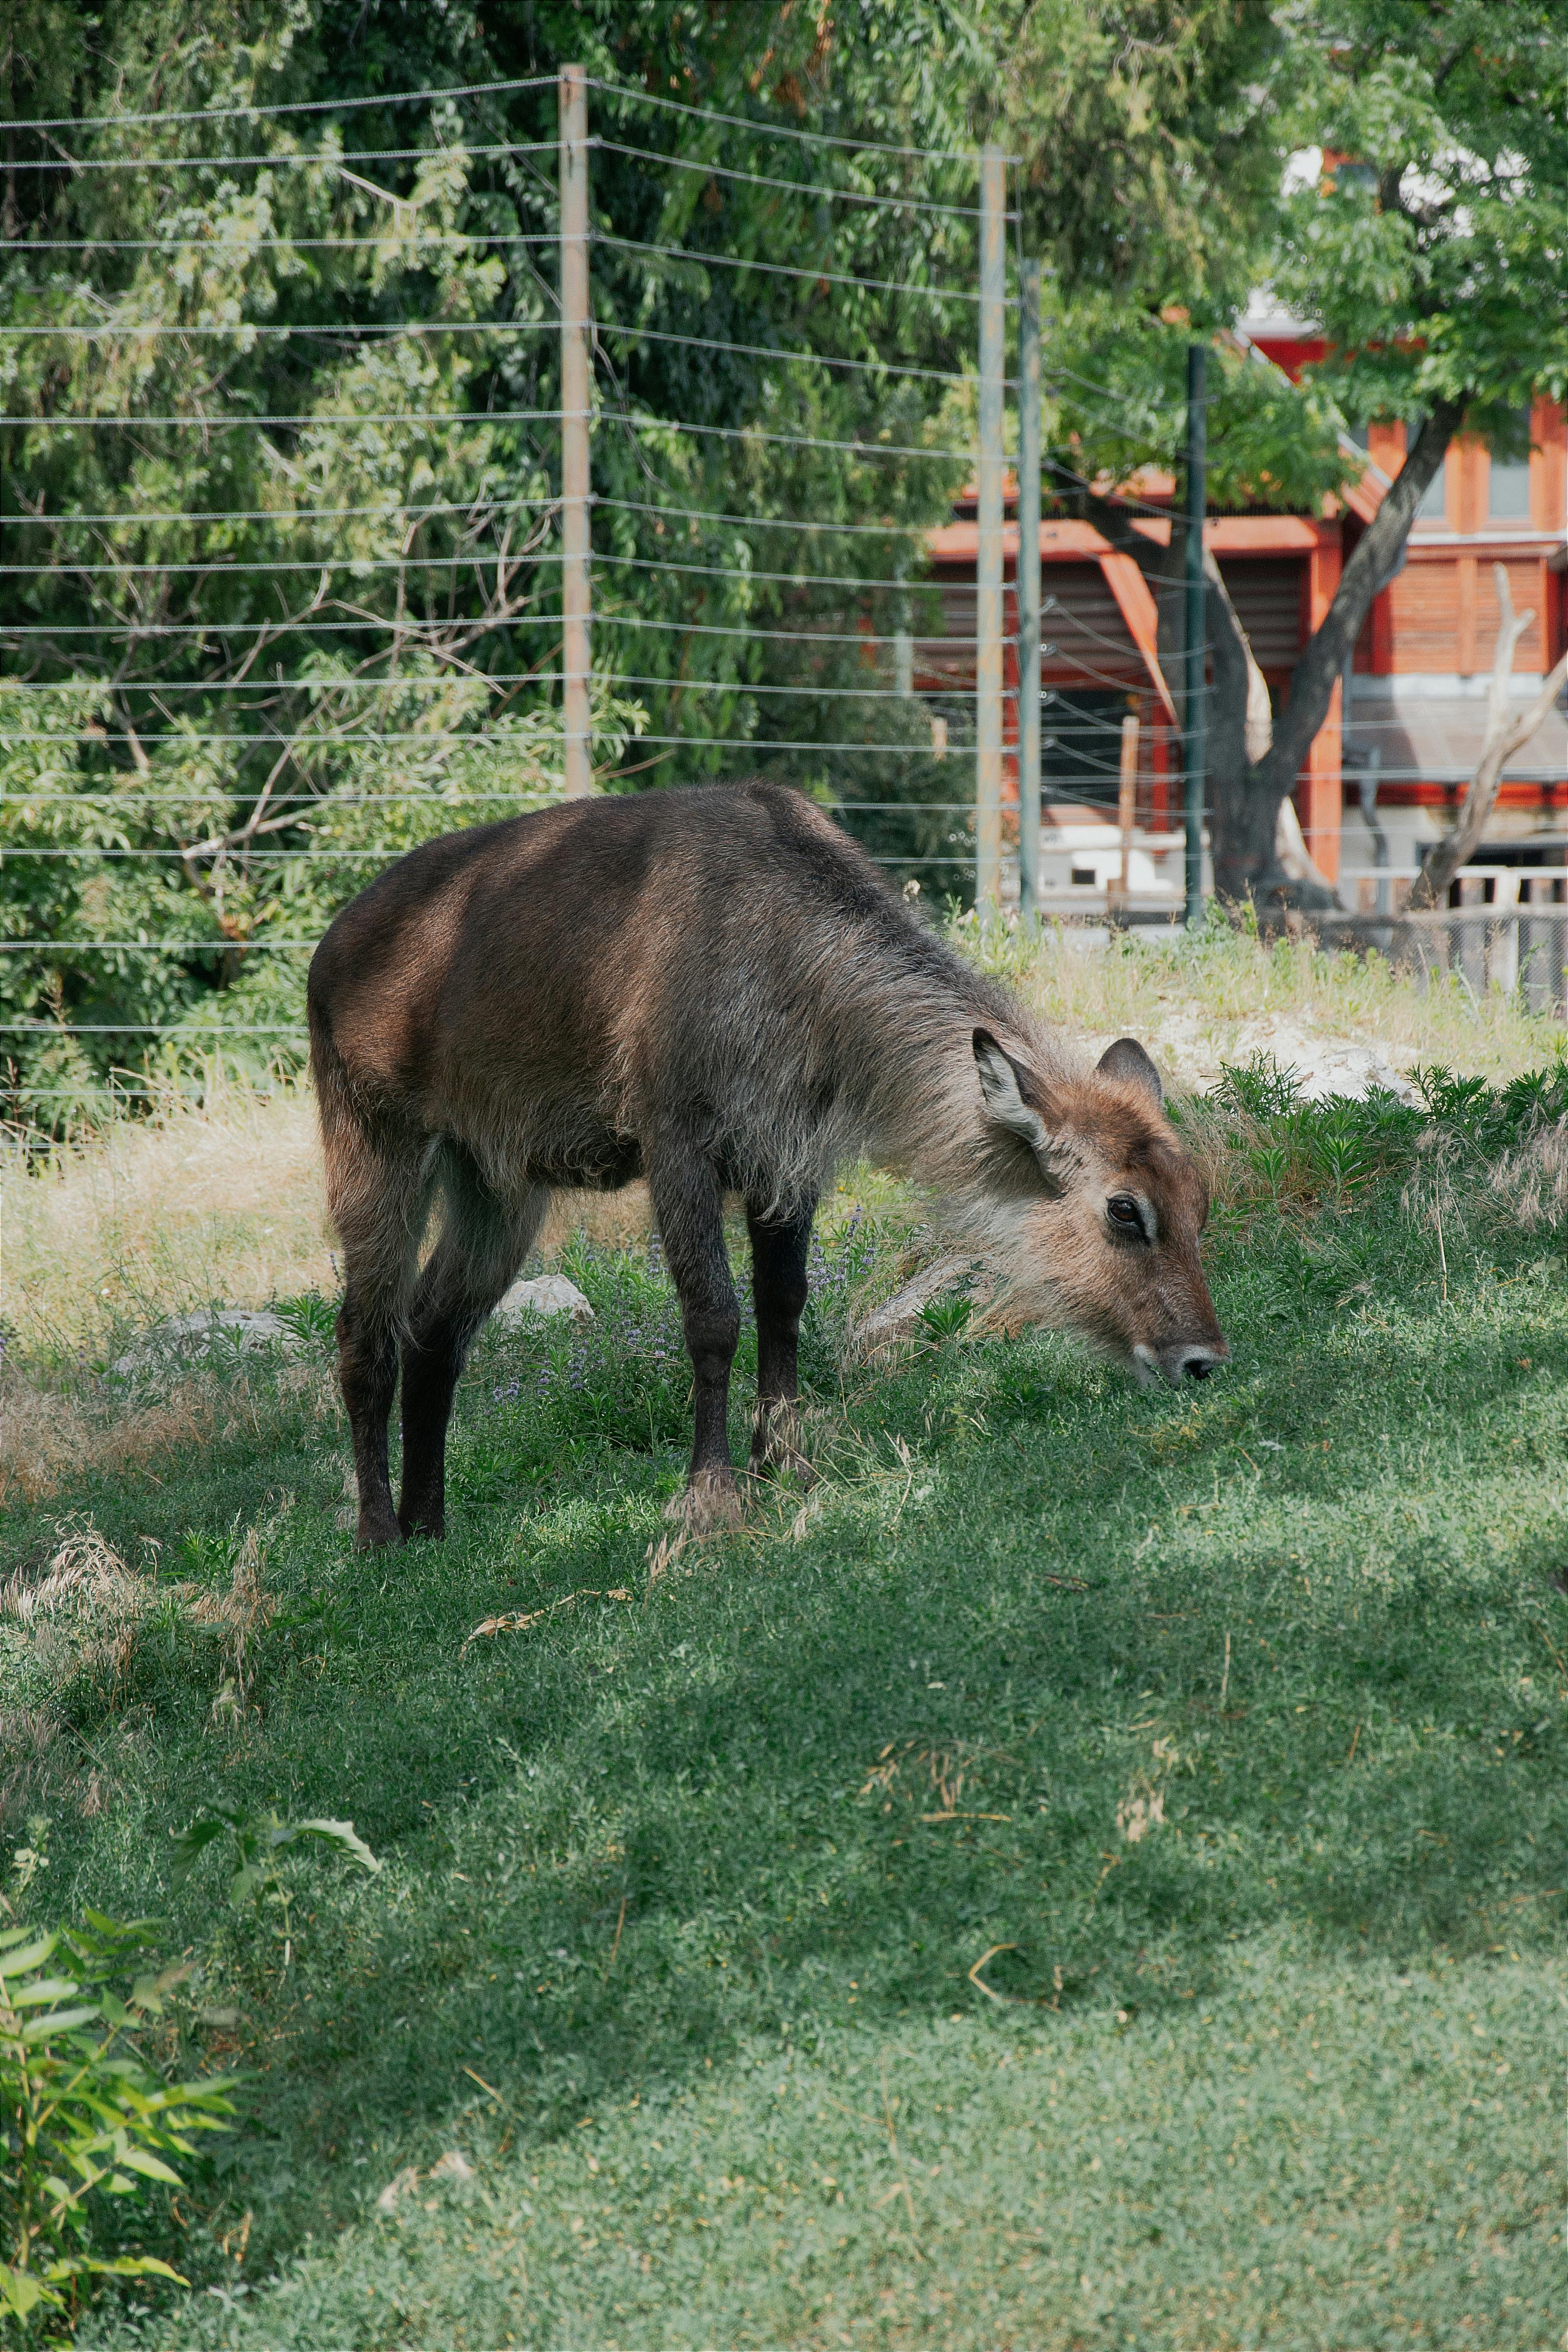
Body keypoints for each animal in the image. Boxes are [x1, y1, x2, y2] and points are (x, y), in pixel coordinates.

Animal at [308, 783, 1226, 1548]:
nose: (1202, 1359)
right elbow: (713, 1316)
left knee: (435, 1327)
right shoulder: (677, 1142)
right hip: (377, 1144)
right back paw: (377, 1536)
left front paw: (786, 1465)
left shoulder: (787, 1158)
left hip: (498, 1181)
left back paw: (432, 1523)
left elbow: (783, 1304)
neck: (790, 969)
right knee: (363, 1330)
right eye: (1123, 1208)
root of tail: (328, 952)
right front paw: (709, 1495)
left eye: (1196, 1199)